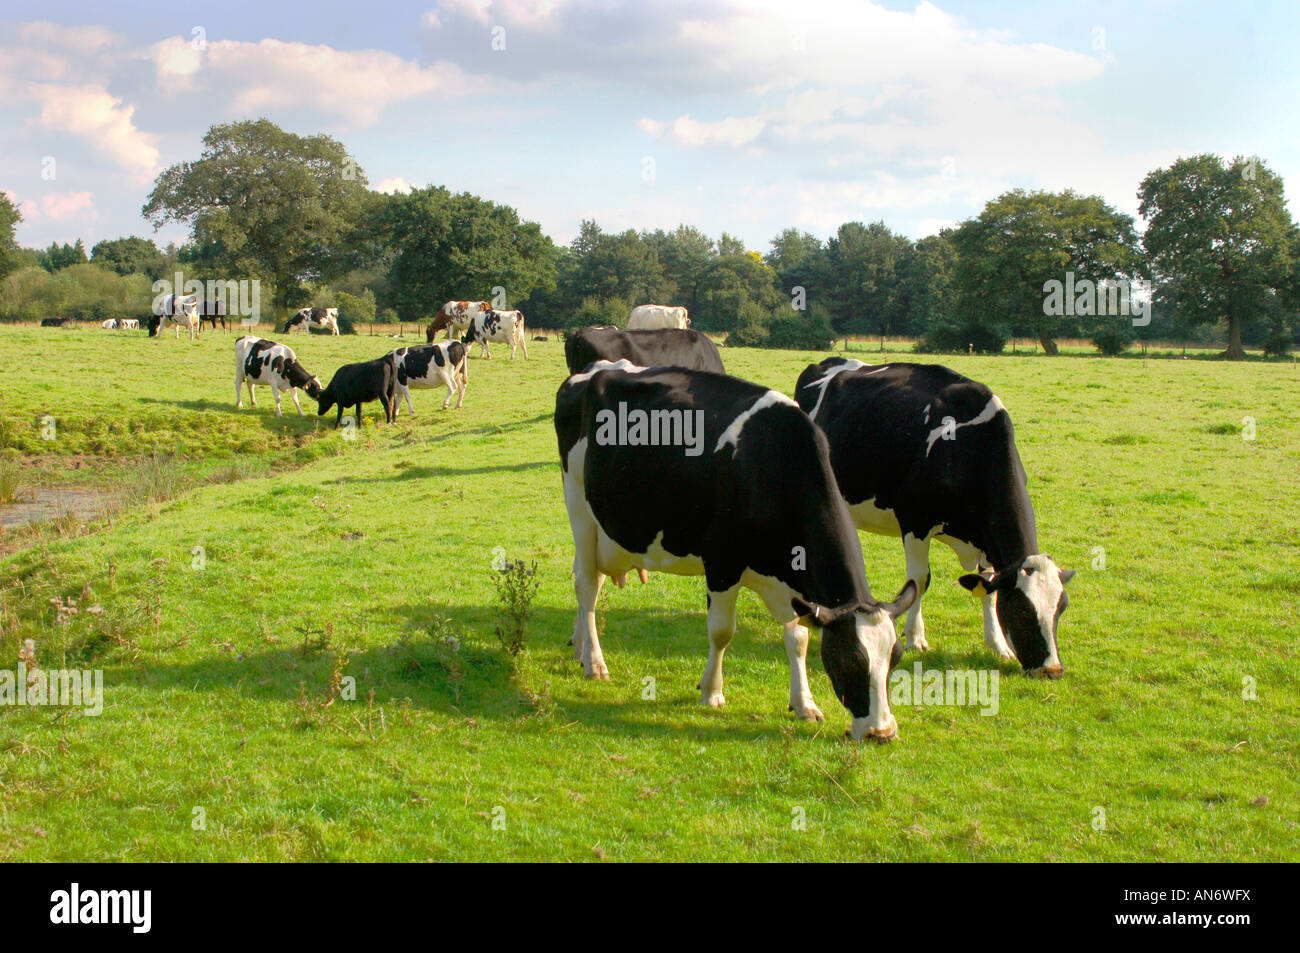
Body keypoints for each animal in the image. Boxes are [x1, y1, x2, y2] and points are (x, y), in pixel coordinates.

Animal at [556, 360, 917, 741]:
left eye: (894, 658)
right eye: (850, 659)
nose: (882, 732)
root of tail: (595, 369)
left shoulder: (794, 584)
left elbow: (799, 638)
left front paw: (804, 704)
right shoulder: (722, 563)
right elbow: (721, 631)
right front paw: (711, 692)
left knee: (586, 583)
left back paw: (579, 645)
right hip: (579, 508)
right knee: (587, 586)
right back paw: (595, 663)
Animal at [795, 358, 1075, 677]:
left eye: (1061, 608)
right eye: (1023, 609)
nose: (1051, 670)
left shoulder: (985, 536)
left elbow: (988, 587)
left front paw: (997, 644)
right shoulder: (916, 520)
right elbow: (919, 579)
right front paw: (916, 638)